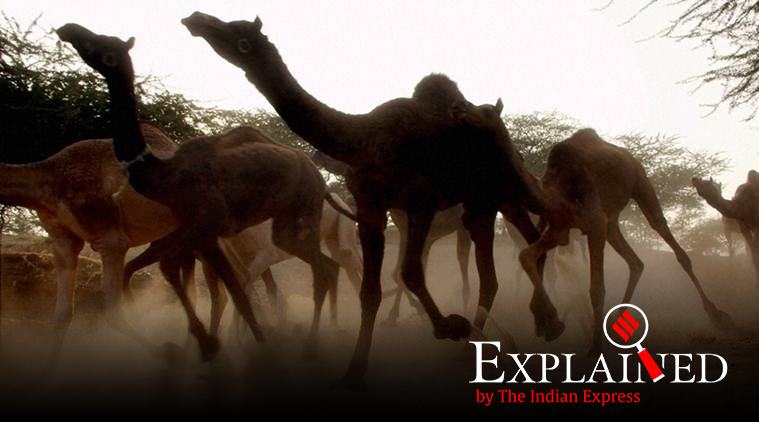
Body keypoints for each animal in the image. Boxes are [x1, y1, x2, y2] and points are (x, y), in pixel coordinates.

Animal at [58, 23, 342, 360]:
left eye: (99, 45)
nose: (68, 29)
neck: (162, 174)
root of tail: (315, 173)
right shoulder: (205, 235)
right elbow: (236, 294)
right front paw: (220, 344)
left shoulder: (205, 223)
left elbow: (176, 268)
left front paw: (208, 343)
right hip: (284, 225)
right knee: (322, 266)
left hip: (304, 207)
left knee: (321, 271)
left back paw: (312, 344)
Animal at [183, 13, 559, 389]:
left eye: (238, 31)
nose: (196, 19)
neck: (362, 139)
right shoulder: (371, 207)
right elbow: (370, 291)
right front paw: (353, 374)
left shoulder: (419, 200)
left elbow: (410, 272)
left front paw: (450, 326)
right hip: (479, 203)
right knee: (508, 260)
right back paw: (510, 335)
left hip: (498, 189)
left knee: (520, 248)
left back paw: (536, 325)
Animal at [518, 128, 734, 353]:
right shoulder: (560, 228)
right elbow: (525, 256)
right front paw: (549, 324)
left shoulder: (593, 224)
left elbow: (596, 288)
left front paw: (594, 348)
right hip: (611, 221)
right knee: (635, 262)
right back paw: (614, 325)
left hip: (640, 183)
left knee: (667, 237)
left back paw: (719, 316)